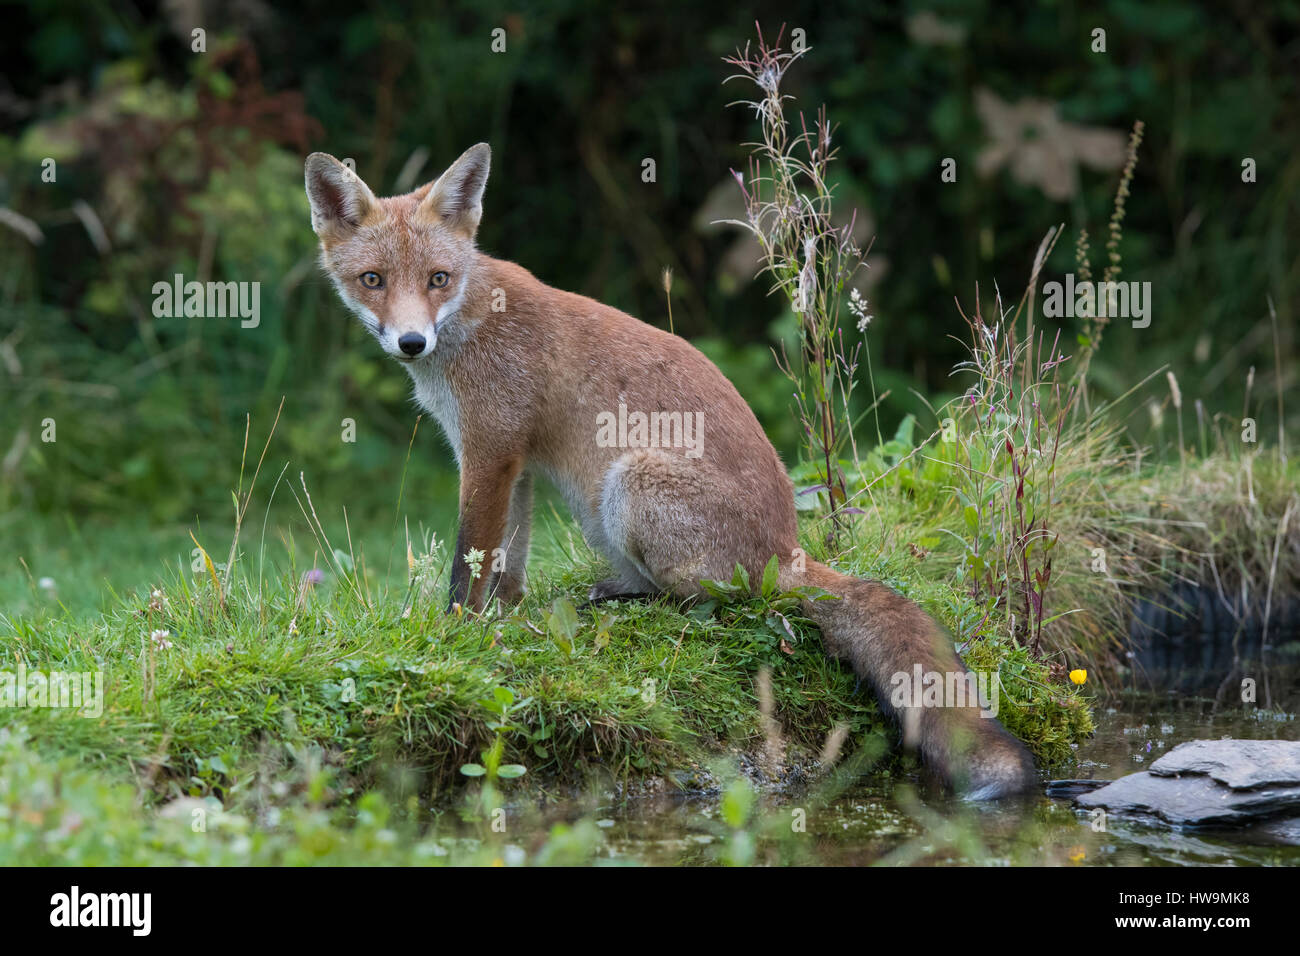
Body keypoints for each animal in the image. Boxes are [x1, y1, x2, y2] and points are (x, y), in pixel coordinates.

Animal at [304, 143, 1038, 799]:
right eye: (373, 281)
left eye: (437, 279)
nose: (410, 342)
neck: (470, 326)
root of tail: (789, 548)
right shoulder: (514, 461)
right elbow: (506, 563)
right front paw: (502, 621)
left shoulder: (488, 452)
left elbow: (467, 563)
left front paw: (454, 636)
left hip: (630, 486)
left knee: (710, 605)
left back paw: (633, 603)